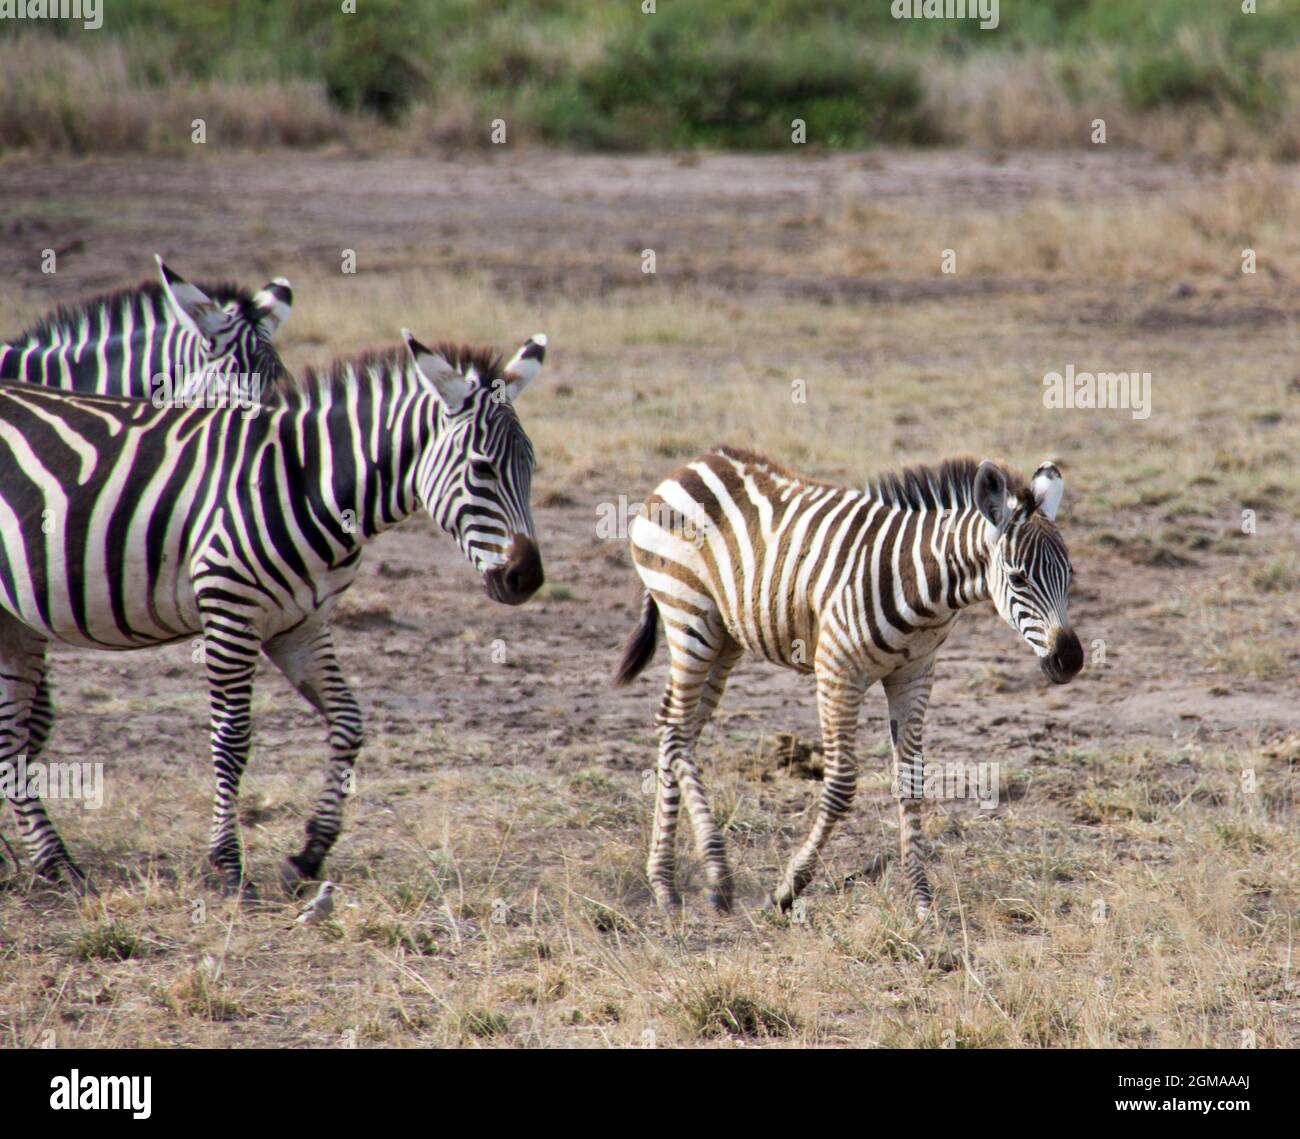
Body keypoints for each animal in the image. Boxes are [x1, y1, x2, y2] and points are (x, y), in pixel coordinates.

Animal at [0, 328, 546, 895]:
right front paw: (227, 863)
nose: (527, 579)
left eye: (531, 467)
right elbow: (233, 739)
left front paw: (310, 852)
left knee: (11, 735)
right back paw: (55, 860)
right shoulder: (229, 610)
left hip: (14, 620)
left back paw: (53, 862)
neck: (305, 485)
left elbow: (349, 722)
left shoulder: (302, 625)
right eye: (482, 468)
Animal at [614, 447, 1082, 919]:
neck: (922, 587)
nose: (1071, 660)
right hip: (689, 617)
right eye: (1018, 577)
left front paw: (922, 899)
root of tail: (692, 464)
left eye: (1071, 574)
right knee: (676, 730)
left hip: (724, 638)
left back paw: (671, 878)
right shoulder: (837, 671)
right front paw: (787, 890)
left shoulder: (915, 674)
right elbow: (840, 787)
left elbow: (912, 781)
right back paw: (704, 878)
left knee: (675, 727)